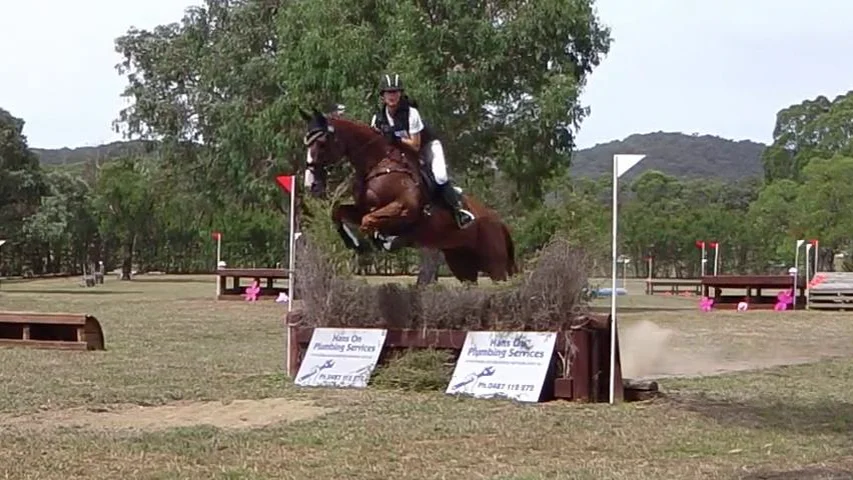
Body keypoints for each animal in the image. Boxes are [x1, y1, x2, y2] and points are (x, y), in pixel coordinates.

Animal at [298, 107, 517, 283]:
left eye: (322, 143)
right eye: (306, 143)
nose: (311, 184)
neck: (377, 163)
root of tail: (499, 221)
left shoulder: (404, 208)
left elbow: (368, 221)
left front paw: (386, 241)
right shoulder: (362, 208)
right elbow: (339, 212)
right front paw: (356, 244)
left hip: (494, 265)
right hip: (463, 265)